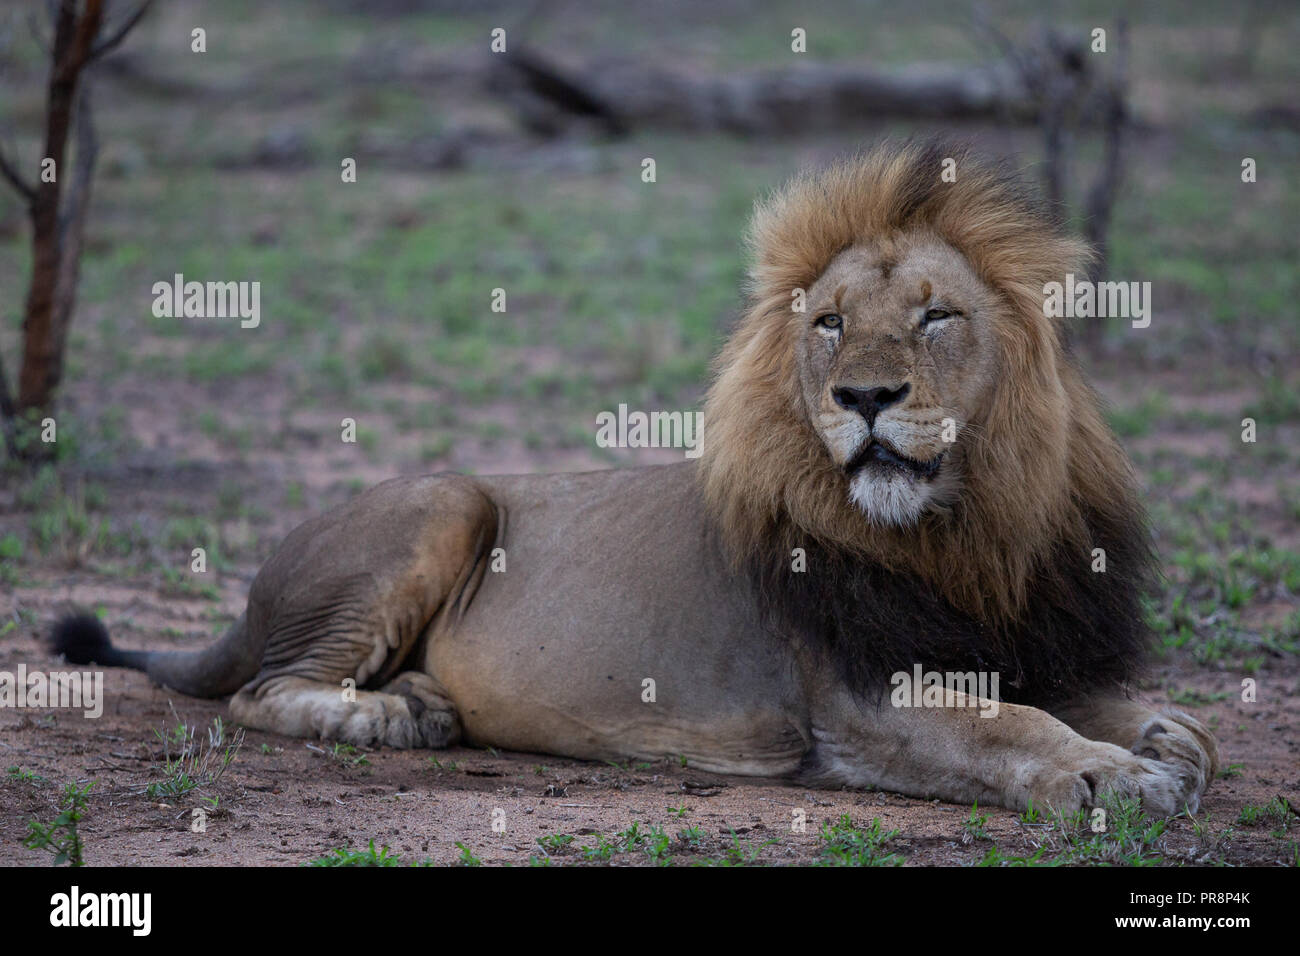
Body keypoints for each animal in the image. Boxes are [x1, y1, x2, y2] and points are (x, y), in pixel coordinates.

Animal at [55, 139, 1218, 815]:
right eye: (830, 323)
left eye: (937, 316)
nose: (865, 396)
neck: (960, 529)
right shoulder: (862, 701)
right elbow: (1012, 727)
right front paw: (1115, 774)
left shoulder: (1018, 635)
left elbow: (1107, 705)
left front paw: (1164, 734)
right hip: (448, 497)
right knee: (260, 690)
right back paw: (388, 717)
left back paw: (419, 695)